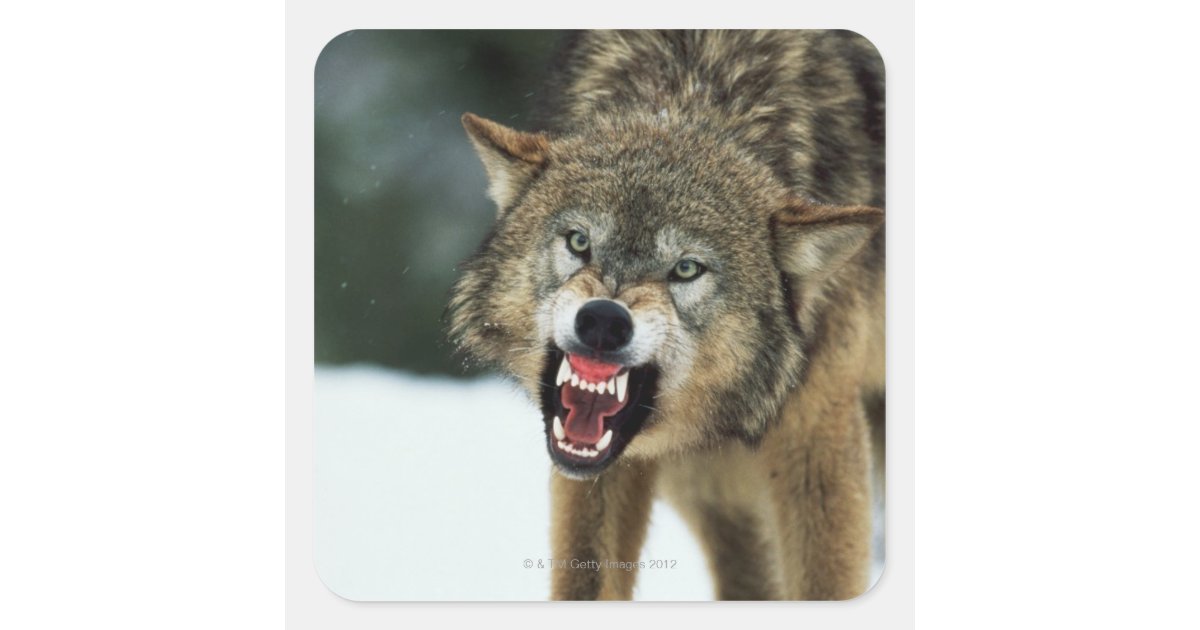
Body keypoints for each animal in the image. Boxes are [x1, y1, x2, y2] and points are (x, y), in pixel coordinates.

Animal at [448, 30, 884, 600]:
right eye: (579, 242)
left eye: (686, 269)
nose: (603, 320)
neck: (694, 88)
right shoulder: (607, 467)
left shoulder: (818, 432)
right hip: (708, 486)